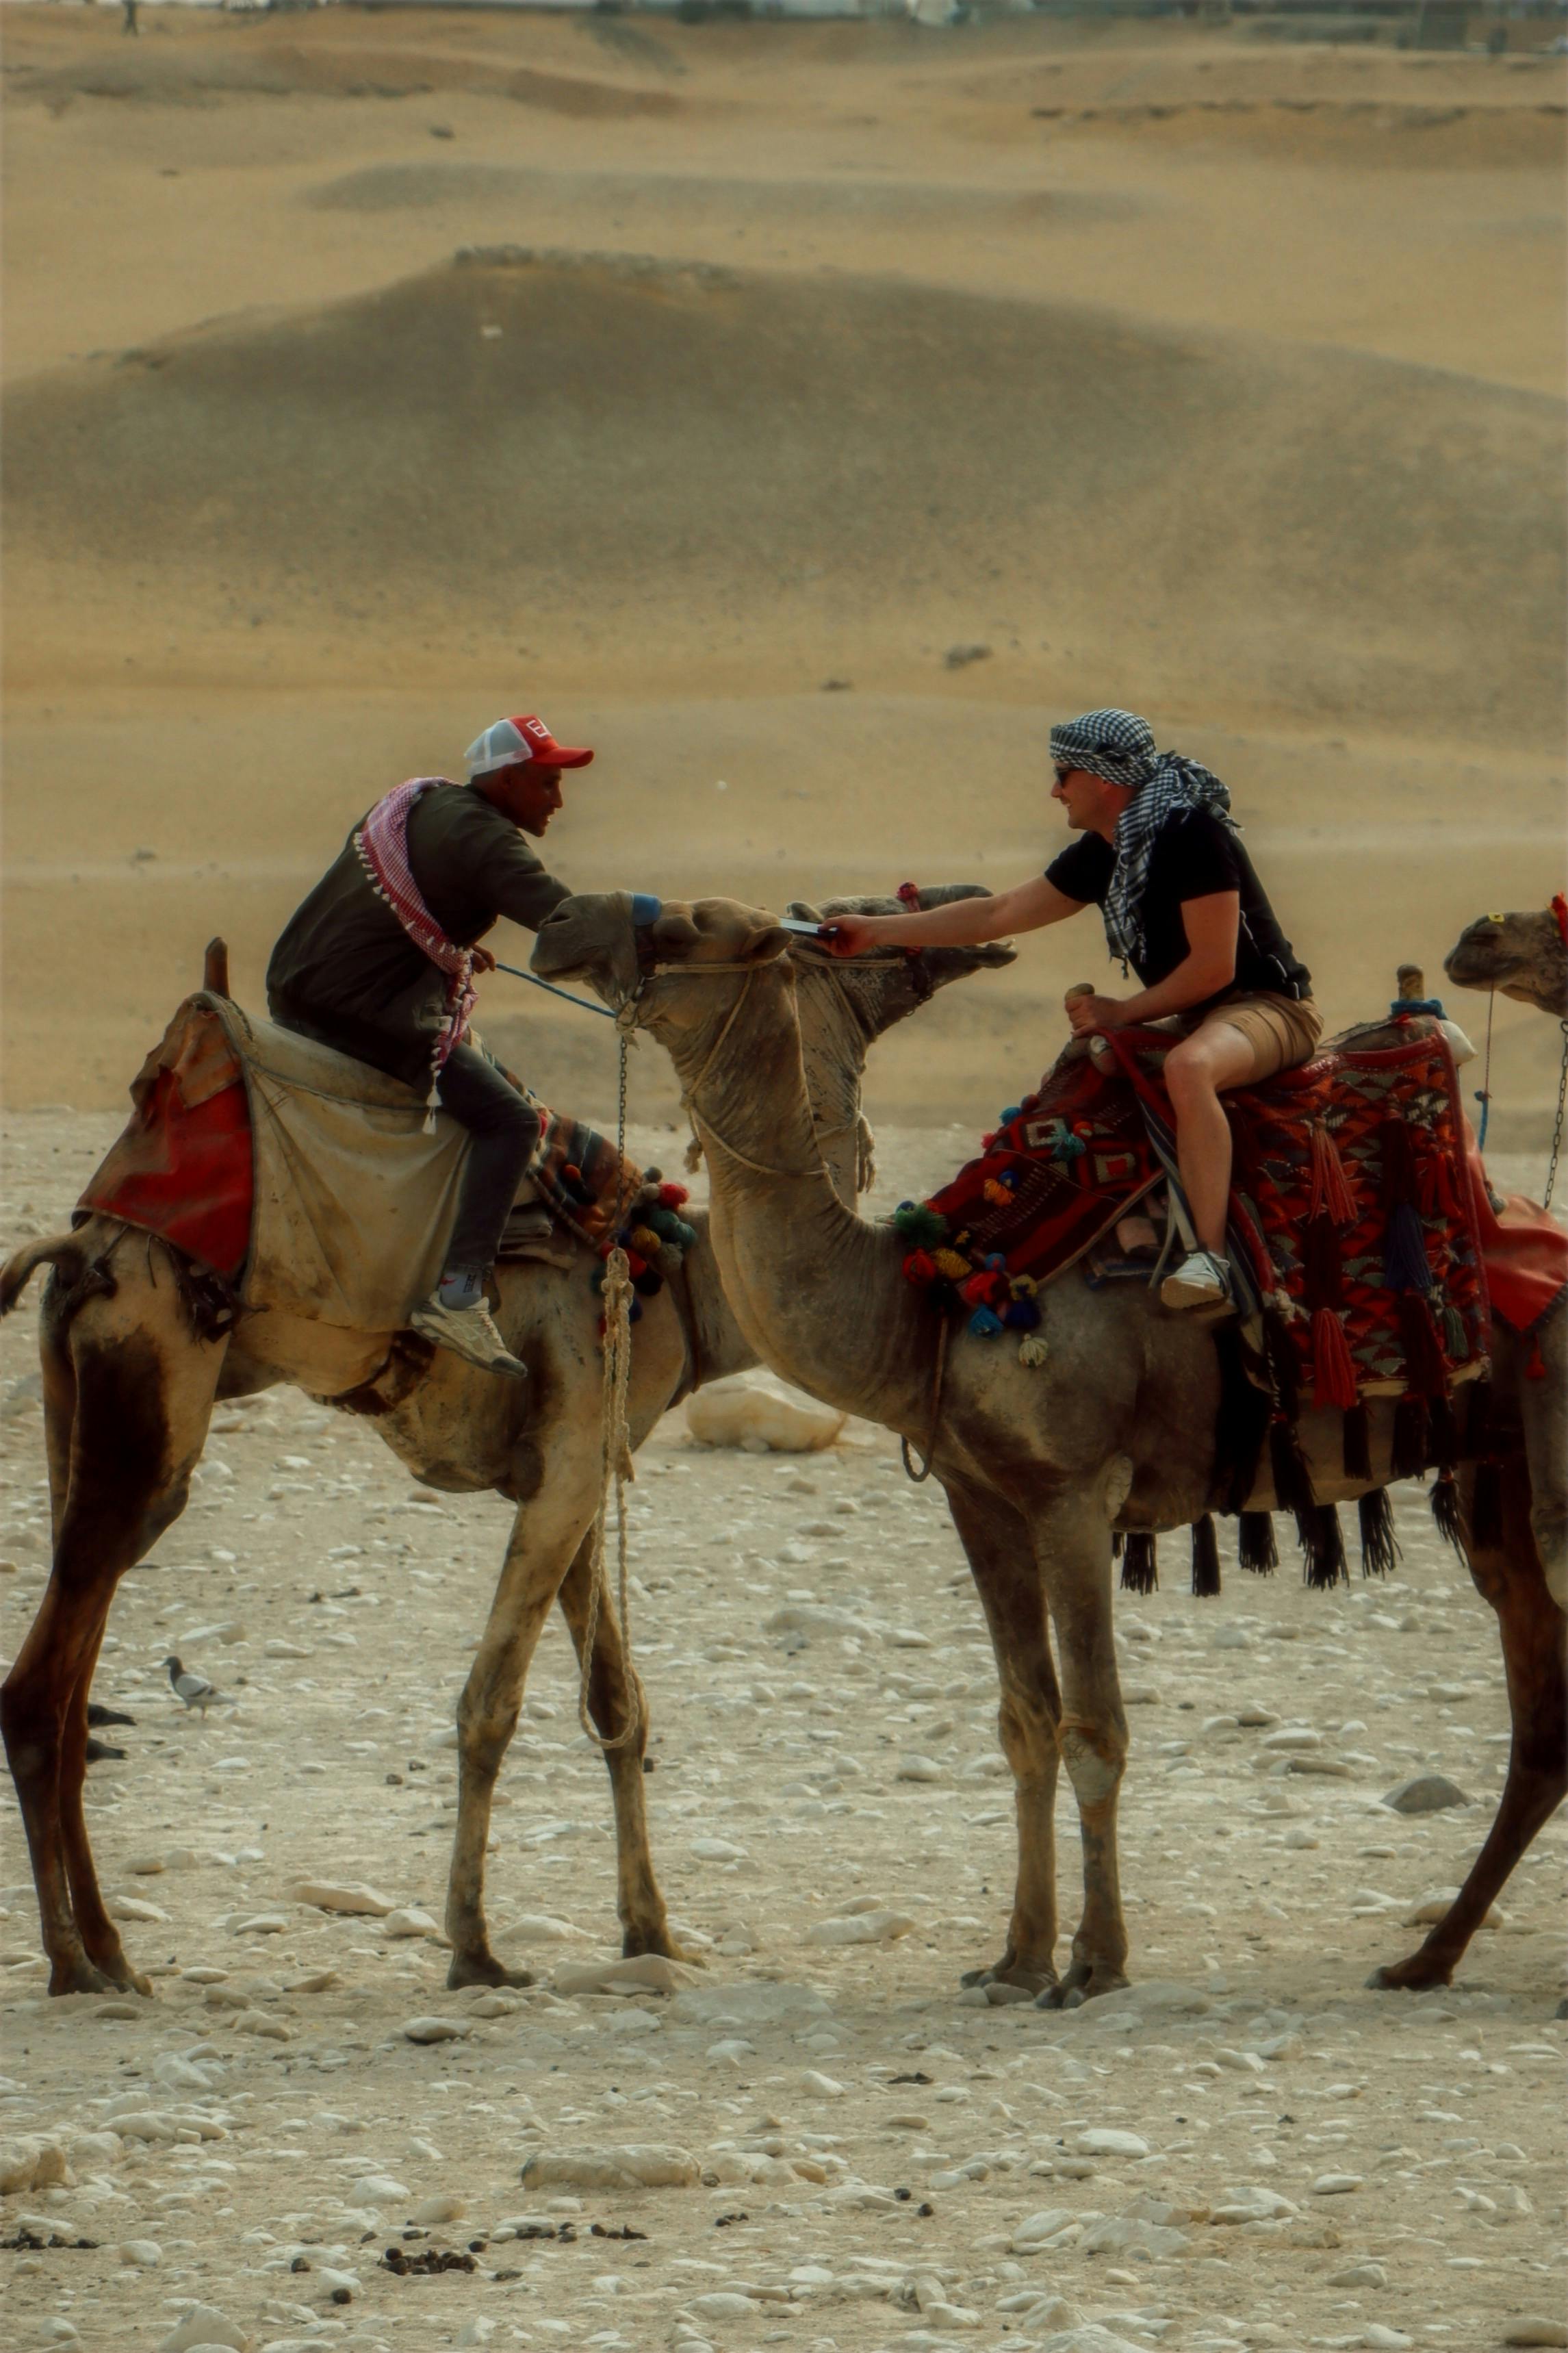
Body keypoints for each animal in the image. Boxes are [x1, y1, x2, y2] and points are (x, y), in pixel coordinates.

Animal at [0, 893, 1011, 1999]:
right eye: (843, 927)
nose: (973, 936)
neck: (676, 1278)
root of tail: (85, 1246)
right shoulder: (568, 1463)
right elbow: (491, 1704)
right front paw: (474, 1947)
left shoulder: (567, 1466)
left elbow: (619, 1702)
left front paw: (652, 1931)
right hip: (152, 1394)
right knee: (42, 1688)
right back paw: (83, 1962)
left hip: (77, 1406)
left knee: (71, 1676)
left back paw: (103, 1954)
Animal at [534, 893, 1565, 2004]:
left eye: (697, 919)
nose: (560, 920)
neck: (931, 1297)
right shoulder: (980, 1495)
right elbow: (1023, 1723)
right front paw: (1016, 1957)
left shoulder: (1075, 1492)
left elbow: (1094, 1729)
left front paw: (1094, 1962)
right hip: (1496, 1476)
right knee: (1539, 1724)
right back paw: (1424, 1957)